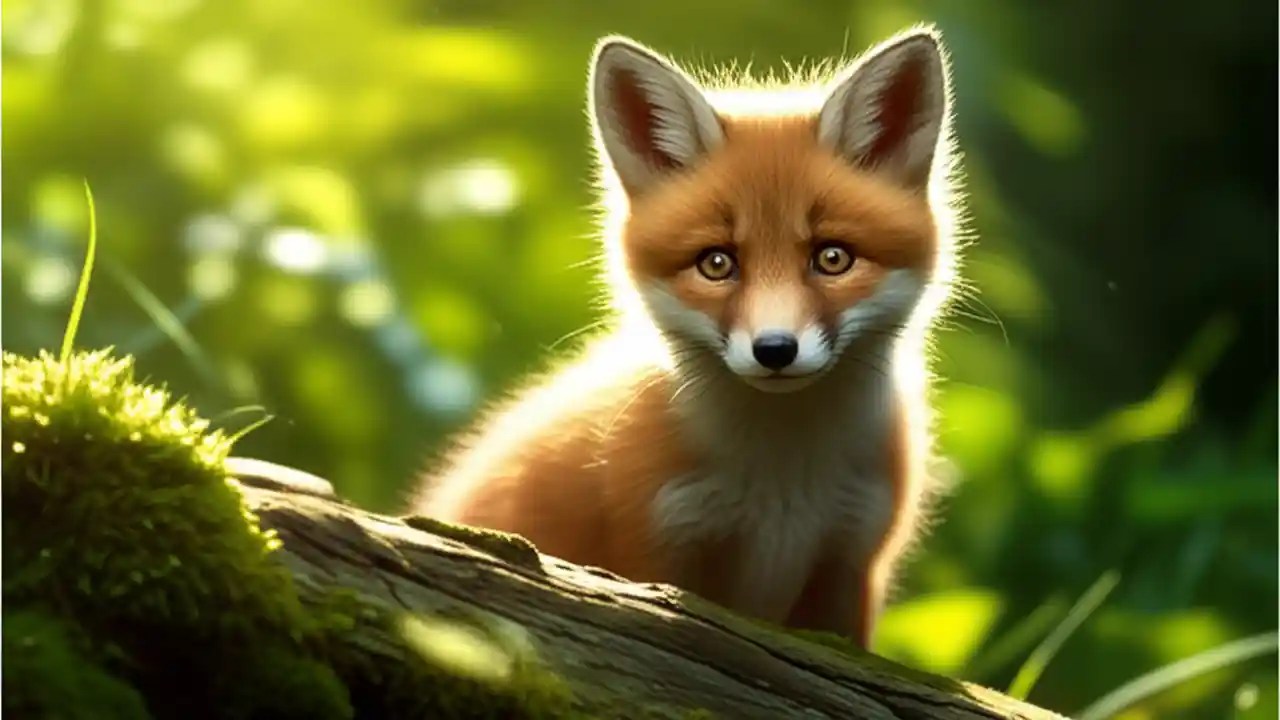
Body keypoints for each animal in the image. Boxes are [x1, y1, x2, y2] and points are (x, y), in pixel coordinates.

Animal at [412, 26, 967, 649]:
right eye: (717, 263)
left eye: (832, 258)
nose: (775, 350)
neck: (782, 483)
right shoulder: (655, 549)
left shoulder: (848, 567)